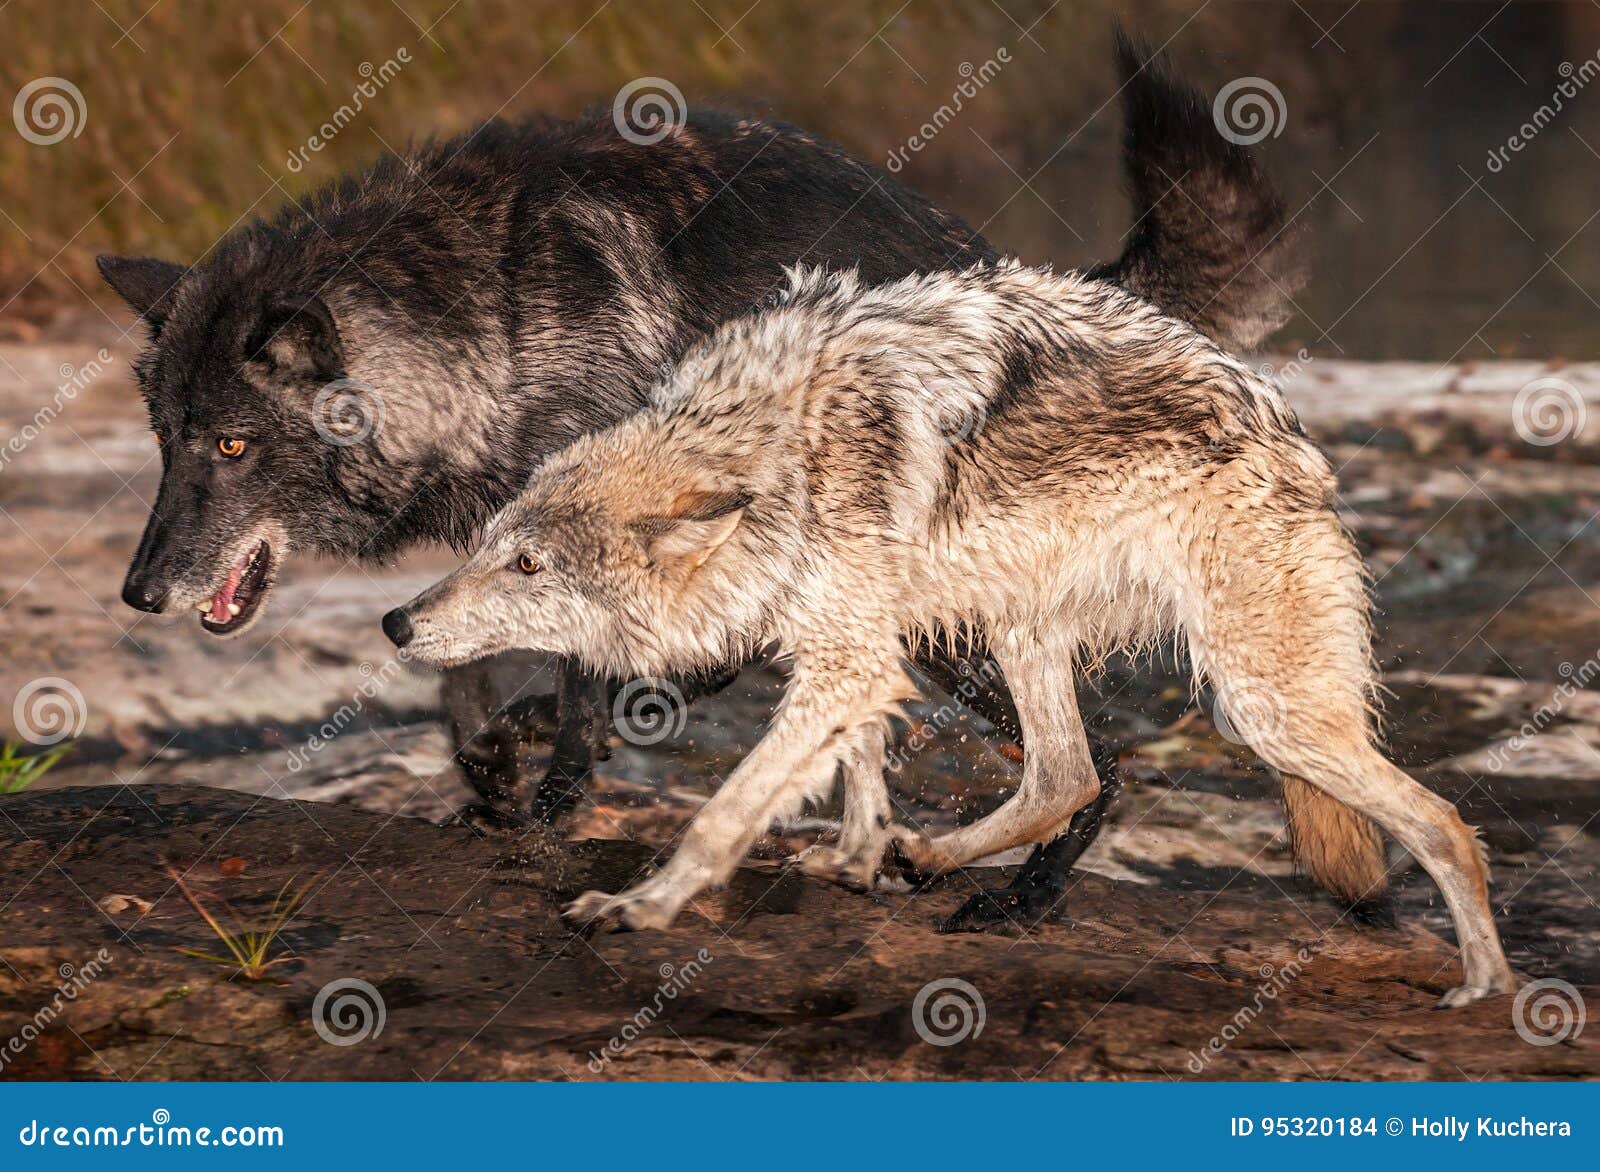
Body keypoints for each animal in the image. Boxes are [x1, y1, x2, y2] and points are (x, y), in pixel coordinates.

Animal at [97, 36, 1309, 925]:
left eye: (235, 448)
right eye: (167, 442)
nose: (140, 593)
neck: (486, 319)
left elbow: (574, 685)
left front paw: (550, 788)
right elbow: (455, 668)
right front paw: (490, 772)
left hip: (947, 618)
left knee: (1098, 754)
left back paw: (1024, 900)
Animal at [386, 260, 1516, 1008]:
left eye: (529, 568)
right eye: (487, 547)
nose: (397, 618)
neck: (778, 450)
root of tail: (1296, 440)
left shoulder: (847, 652)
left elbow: (724, 812)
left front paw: (642, 905)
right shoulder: (854, 647)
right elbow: (860, 765)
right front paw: (857, 854)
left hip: (1261, 708)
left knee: (1442, 821)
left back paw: (1488, 987)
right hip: (1018, 632)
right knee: (1067, 773)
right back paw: (928, 857)